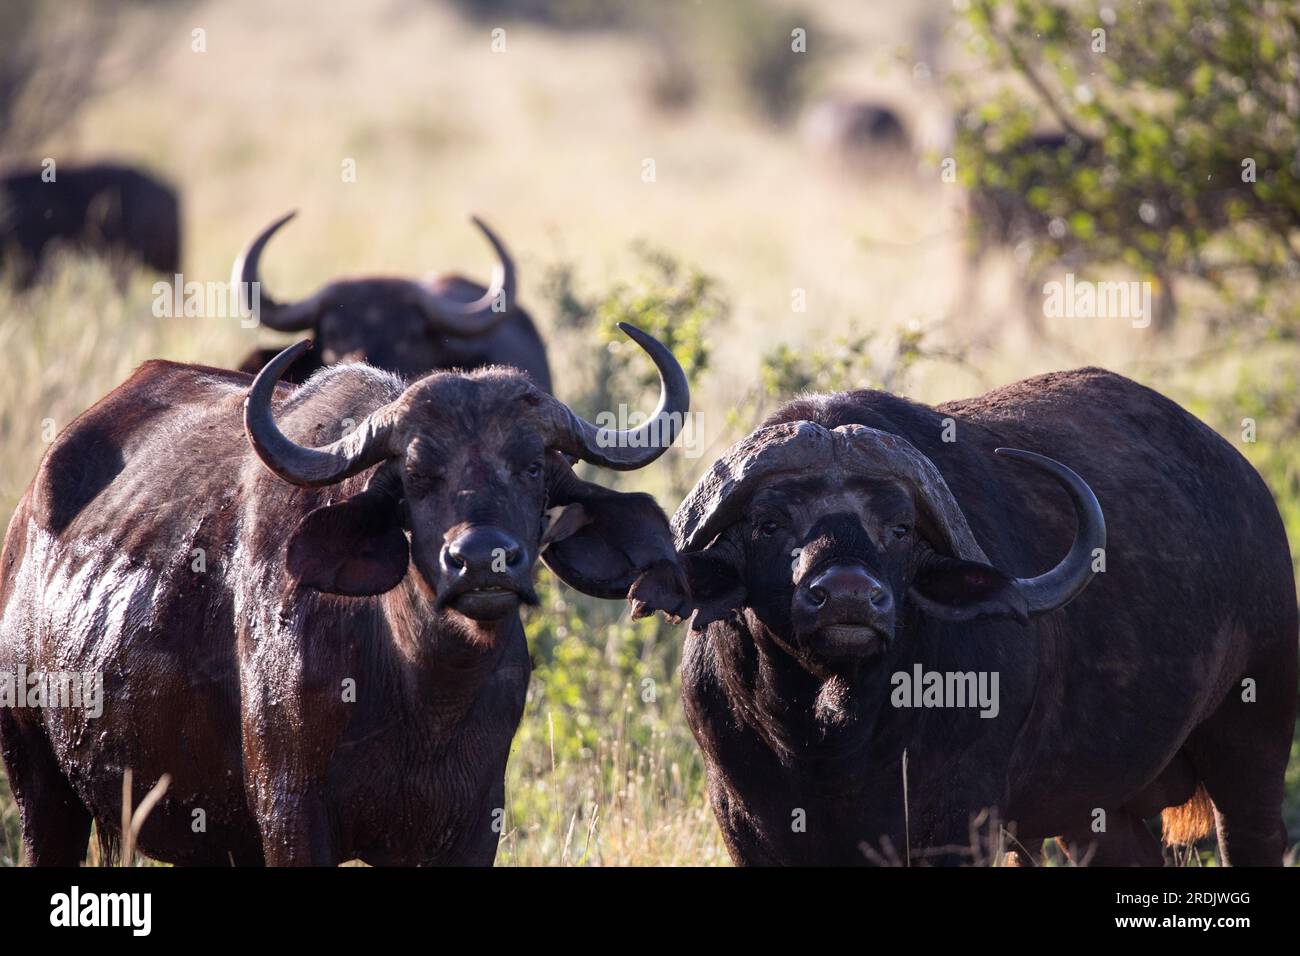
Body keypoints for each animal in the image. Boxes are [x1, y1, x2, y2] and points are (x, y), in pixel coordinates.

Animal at [0, 324, 687, 866]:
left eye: (534, 466)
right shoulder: (291, 813)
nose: (481, 560)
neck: (424, 693)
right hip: (40, 785)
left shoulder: (472, 826)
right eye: (416, 474)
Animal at [638, 369, 1297, 866]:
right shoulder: (747, 822)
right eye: (768, 522)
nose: (849, 597)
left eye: (901, 527)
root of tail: (1251, 491)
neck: (829, 735)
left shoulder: (958, 822)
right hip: (1096, 810)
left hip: (1253, 744)